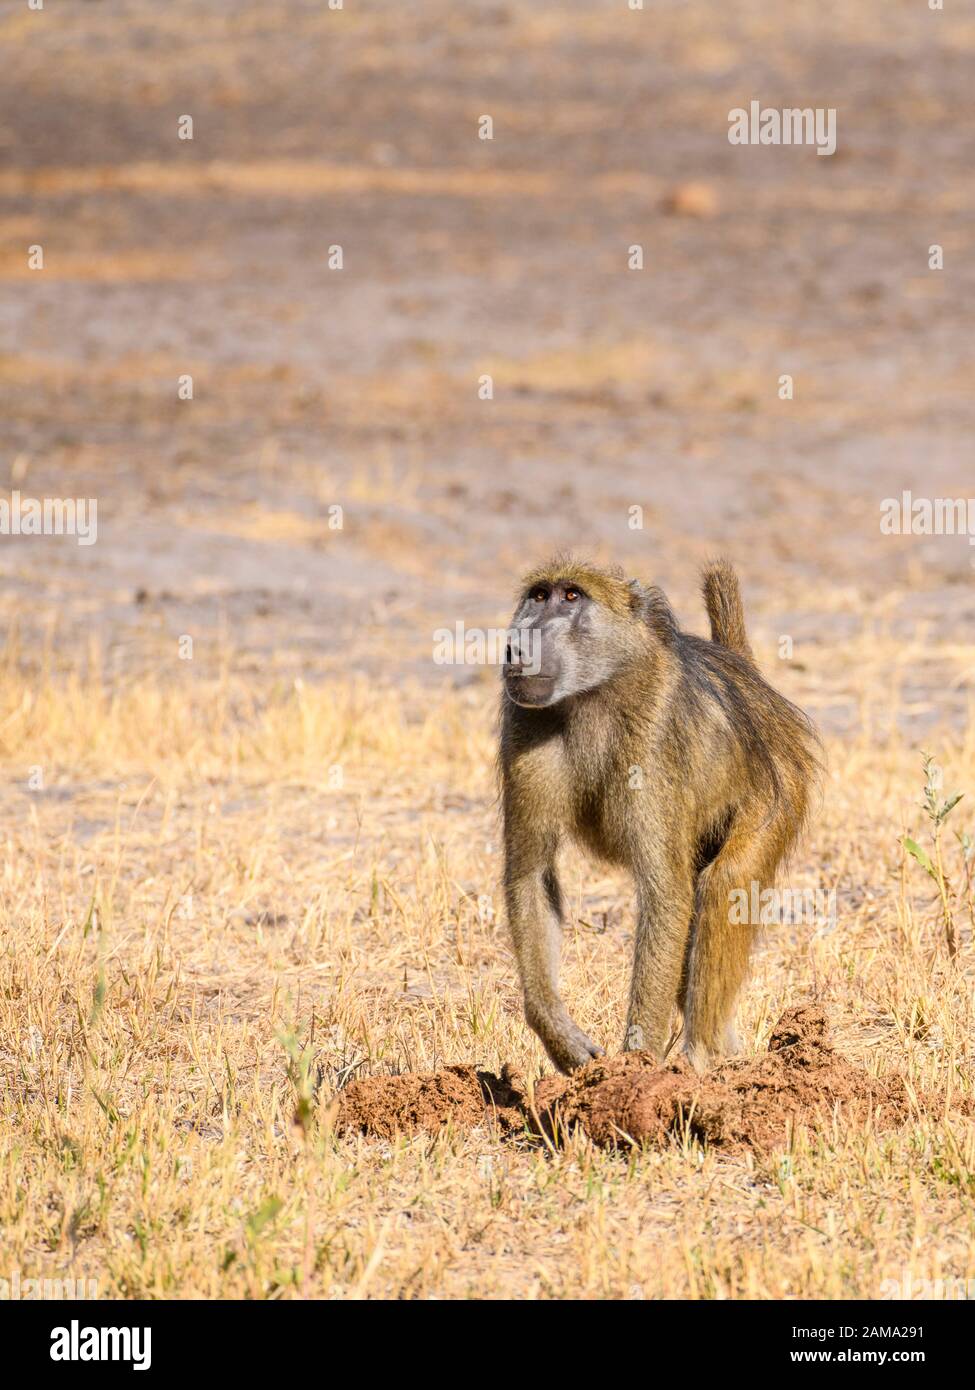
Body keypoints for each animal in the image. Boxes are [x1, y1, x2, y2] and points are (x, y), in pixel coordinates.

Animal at [498, 555, 819, 1074]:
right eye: (538, 596)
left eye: (571, 597)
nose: (518, 642)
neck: (593, 694)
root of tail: (749, 681)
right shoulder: (524, 725)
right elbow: (531, 875)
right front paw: (562, 1039)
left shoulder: (653, 738)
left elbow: (665, 892)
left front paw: (635, 1067)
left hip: (781, 787)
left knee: (724, 883)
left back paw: (704, 1058)